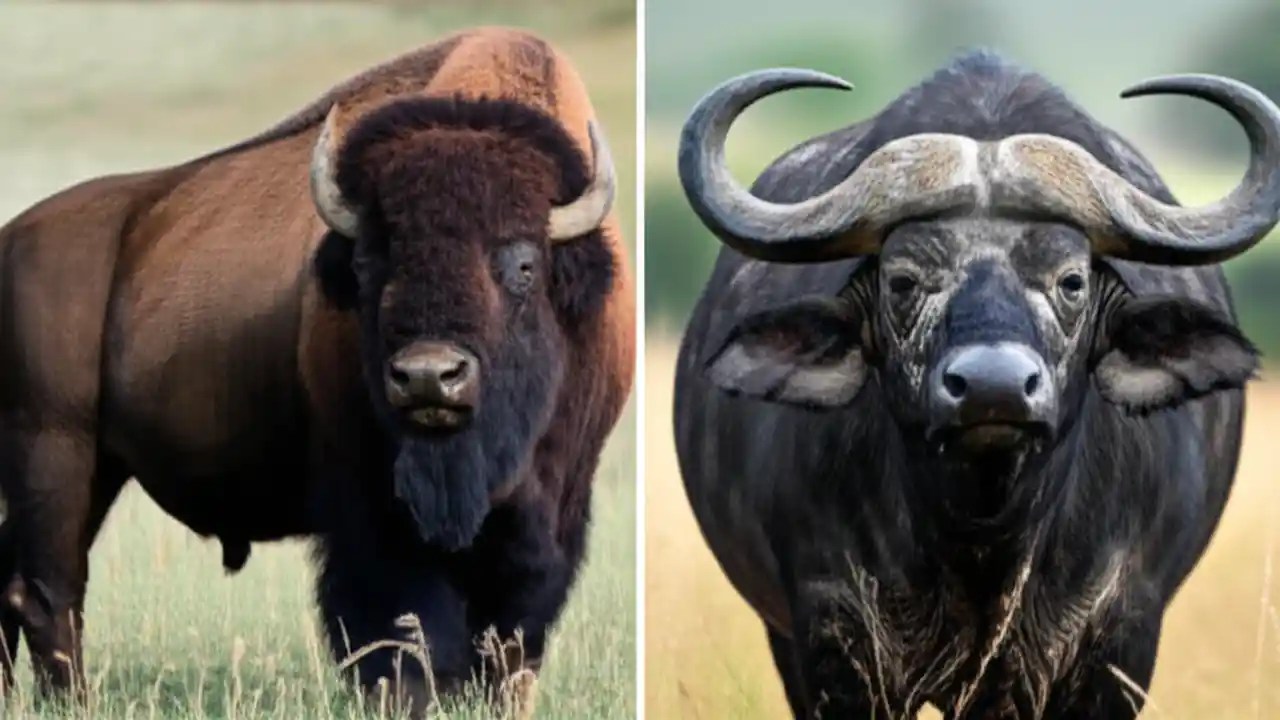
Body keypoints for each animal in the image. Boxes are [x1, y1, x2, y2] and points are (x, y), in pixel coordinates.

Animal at [0, 26, 634, 712]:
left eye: (521, 263)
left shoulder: (552, 516)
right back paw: (72, 704)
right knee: (48, 593)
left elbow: (507, 646)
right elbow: (398, 636)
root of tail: (12, 239)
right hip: (53, 450)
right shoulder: (372, 513)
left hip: (95, 468)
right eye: (368, 261)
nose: (427, 377)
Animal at [674, 51, 1280, 718]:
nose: (996, 387)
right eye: (903, 281)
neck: (983, 539)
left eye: (1071, 280)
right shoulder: (830, 633)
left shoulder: (1121, 638)